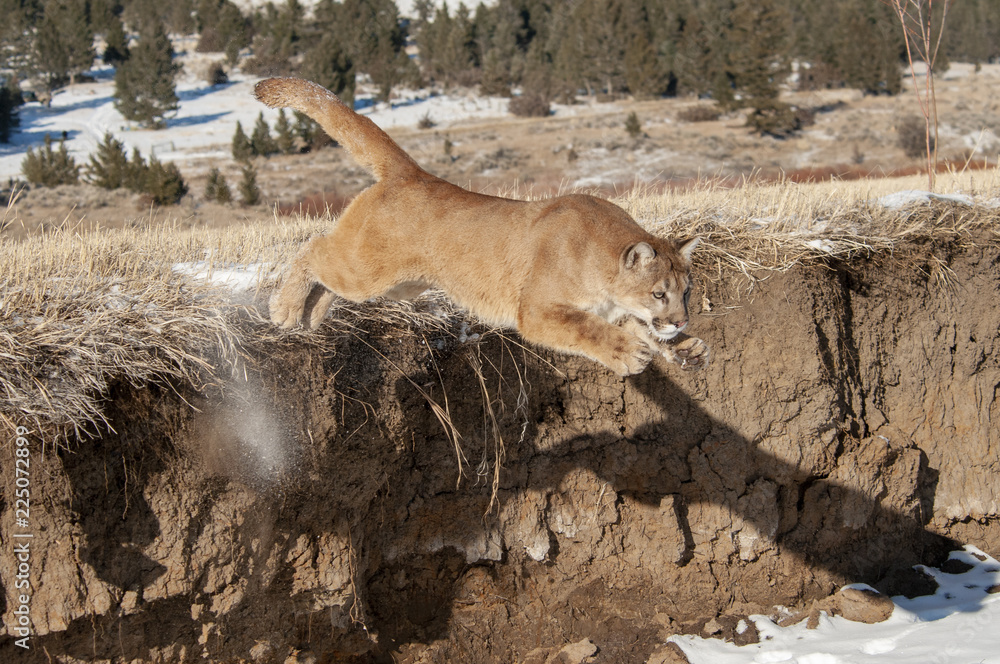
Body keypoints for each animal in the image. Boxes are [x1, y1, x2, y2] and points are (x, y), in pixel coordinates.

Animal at [254, 77, 708, 376]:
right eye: (659, 293)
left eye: (686, 292)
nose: (681, 321)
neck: (602, 265)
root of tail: (414, 173)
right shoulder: (537, 310)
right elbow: (588, 329)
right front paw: (629, 352)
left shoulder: (612, 310)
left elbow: (642, 329)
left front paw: (684, 350)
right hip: (368, 271)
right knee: (312, 248)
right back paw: (285, 309)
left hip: (400, 283)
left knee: (328, 267)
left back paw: (312, 314)